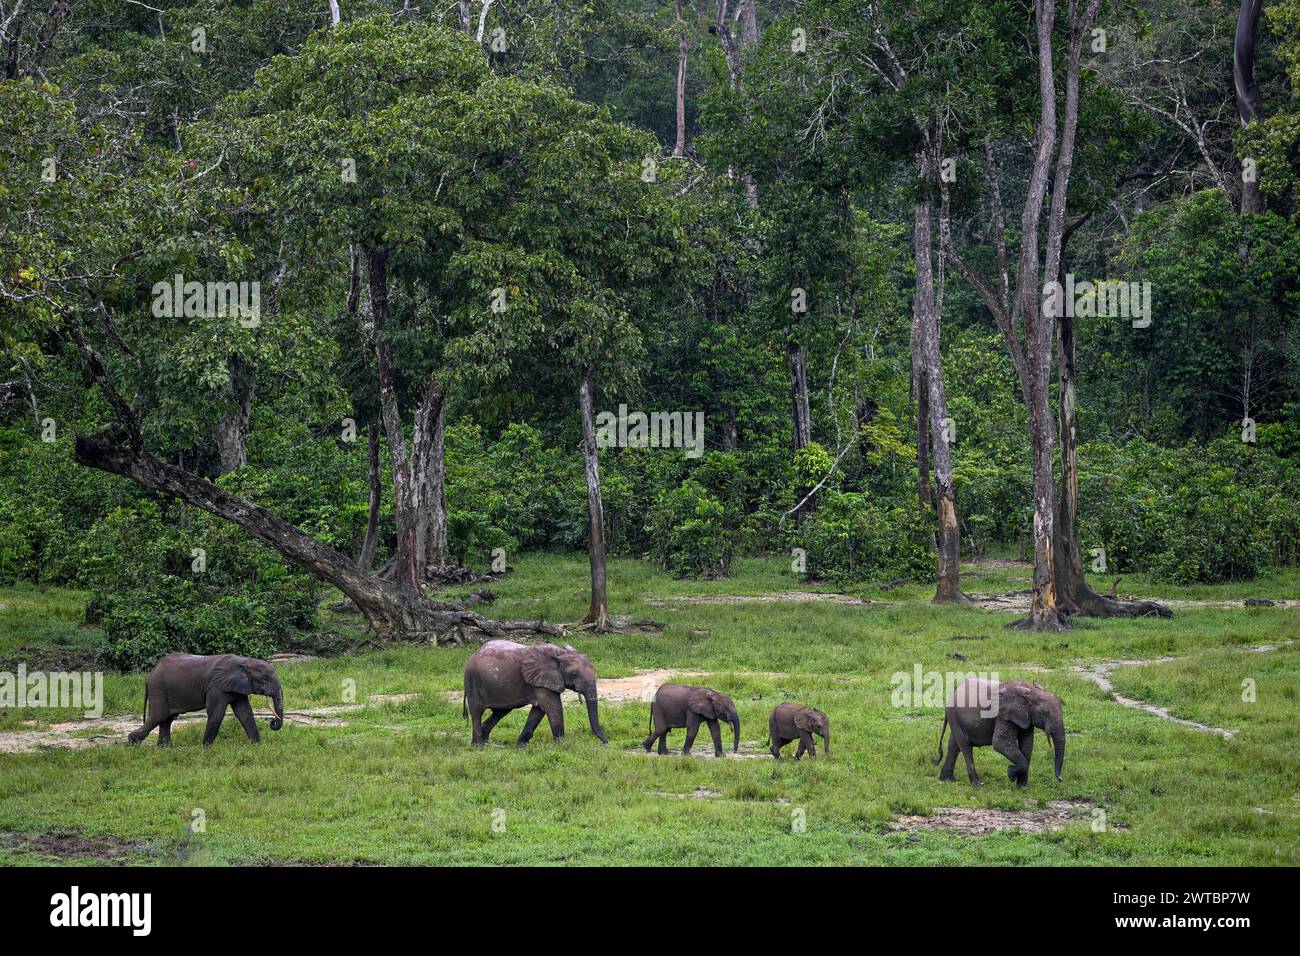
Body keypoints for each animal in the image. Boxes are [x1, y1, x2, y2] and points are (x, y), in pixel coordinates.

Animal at [126, 653, 286, 747]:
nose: (272, 722)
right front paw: (206, 748)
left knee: (167, 719)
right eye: (264, 679)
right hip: (158, 688)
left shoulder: (237, 686)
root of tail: (150, 675)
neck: (244, 661)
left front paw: (257, 745)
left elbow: (244, 713)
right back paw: (132, 742)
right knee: (159, 716)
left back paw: (165, 748)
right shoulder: (215, 687)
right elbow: (216, 713)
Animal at [462, 640, 608, 747]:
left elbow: (538, 711)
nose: (605, 744)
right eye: (573, 674)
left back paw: (487, 743)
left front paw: (521, 746)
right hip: (472, 680)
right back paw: (479, 746)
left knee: (500, 712)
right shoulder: (541, 680)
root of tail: (473, 655)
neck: (560, 653)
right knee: (477, 711)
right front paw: (563, 746)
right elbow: (554, 707)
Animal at [936, 677, 1065, 787]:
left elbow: (1027, 745)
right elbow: (1000, 743)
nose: (1060, 779)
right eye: (1044, 714)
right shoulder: (1004, 714)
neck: (1031, 691)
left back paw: (947, 780)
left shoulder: (1026, 717)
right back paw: (978, 784)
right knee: (965, 747)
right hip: (954, 716)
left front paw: (1022, 787)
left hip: (957, 718)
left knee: (954, 746)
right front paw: (1011, 773)